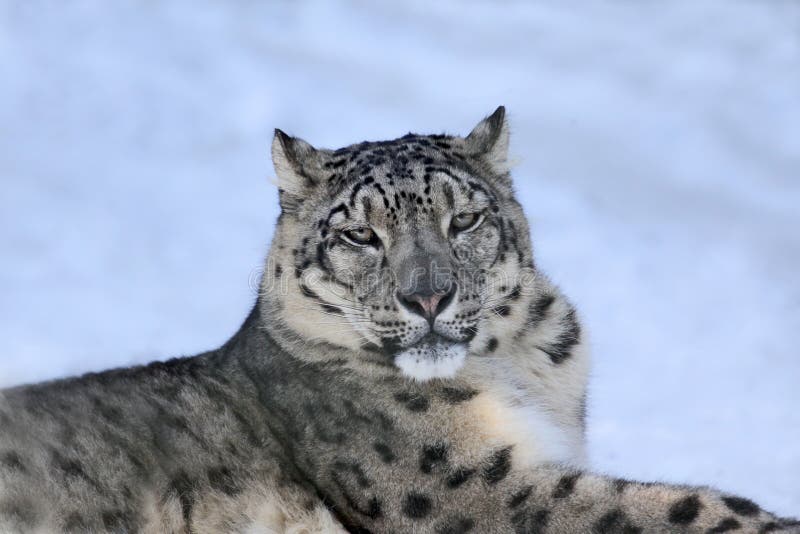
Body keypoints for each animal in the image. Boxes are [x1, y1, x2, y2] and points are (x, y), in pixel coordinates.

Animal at [1, 107, 797, 533]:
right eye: (360, 234)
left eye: (464, 219)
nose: (428, 297)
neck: (521, 372)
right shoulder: (472, 488)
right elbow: (679, 507)